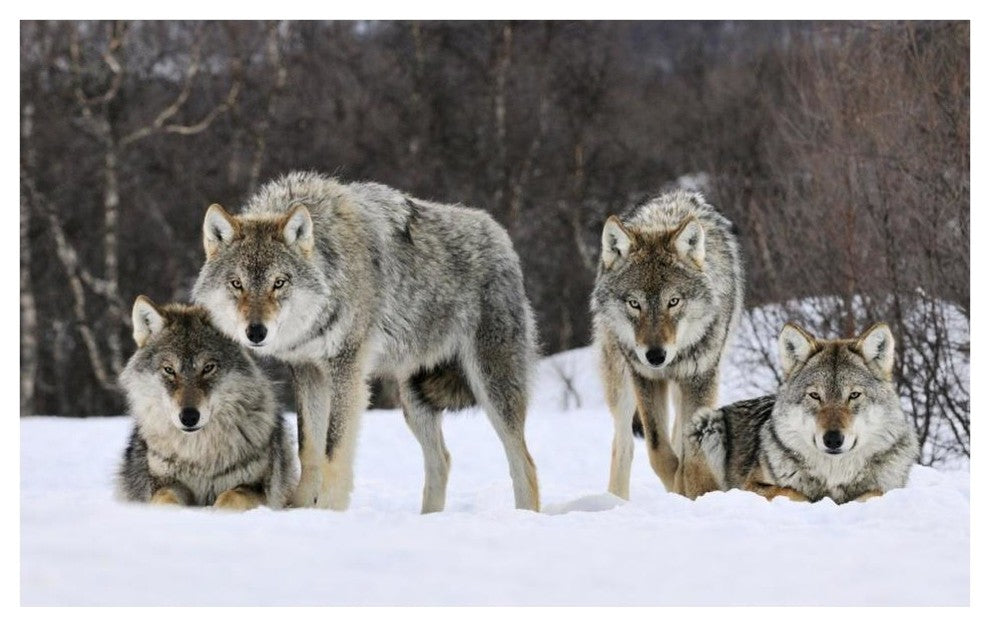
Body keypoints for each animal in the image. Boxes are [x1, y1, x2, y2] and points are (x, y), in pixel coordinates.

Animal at [117, 297, 298, 510]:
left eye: (208, 368)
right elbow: (165, 499)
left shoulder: (257, 488)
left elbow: (231, 498)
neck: (199, 456)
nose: (189, 417)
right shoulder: (164, 483)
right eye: (169, 370)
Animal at [192, 171, 540, 513]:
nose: (256, 332)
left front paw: (328, 511)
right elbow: (309, 448)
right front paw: (300, 508)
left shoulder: (347, 369)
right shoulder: (307, 371)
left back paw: (524, 515)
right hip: (414, 399)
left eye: (279, 282)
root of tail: (500, 235)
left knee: (524, 463)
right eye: (237, 284)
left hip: (491, 387)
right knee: (442, 460)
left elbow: (333, 449)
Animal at [591, 190, 743, 499]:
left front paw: (689, 490)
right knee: (623, 444)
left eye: (673, 301)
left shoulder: (701, 378)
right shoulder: (645, 378)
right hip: (621, 382)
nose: (655, 355)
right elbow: (658, 450)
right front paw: (677, 487)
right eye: (634, 303)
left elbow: (688, 451)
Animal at [685, 322, 919, 503]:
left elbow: (874, 493)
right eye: (815, 396)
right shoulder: (751, 486)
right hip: (705, 423)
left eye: (854, 395)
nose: (833, 439)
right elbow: (793, 492)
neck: (834, 475)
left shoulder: (888, 488)